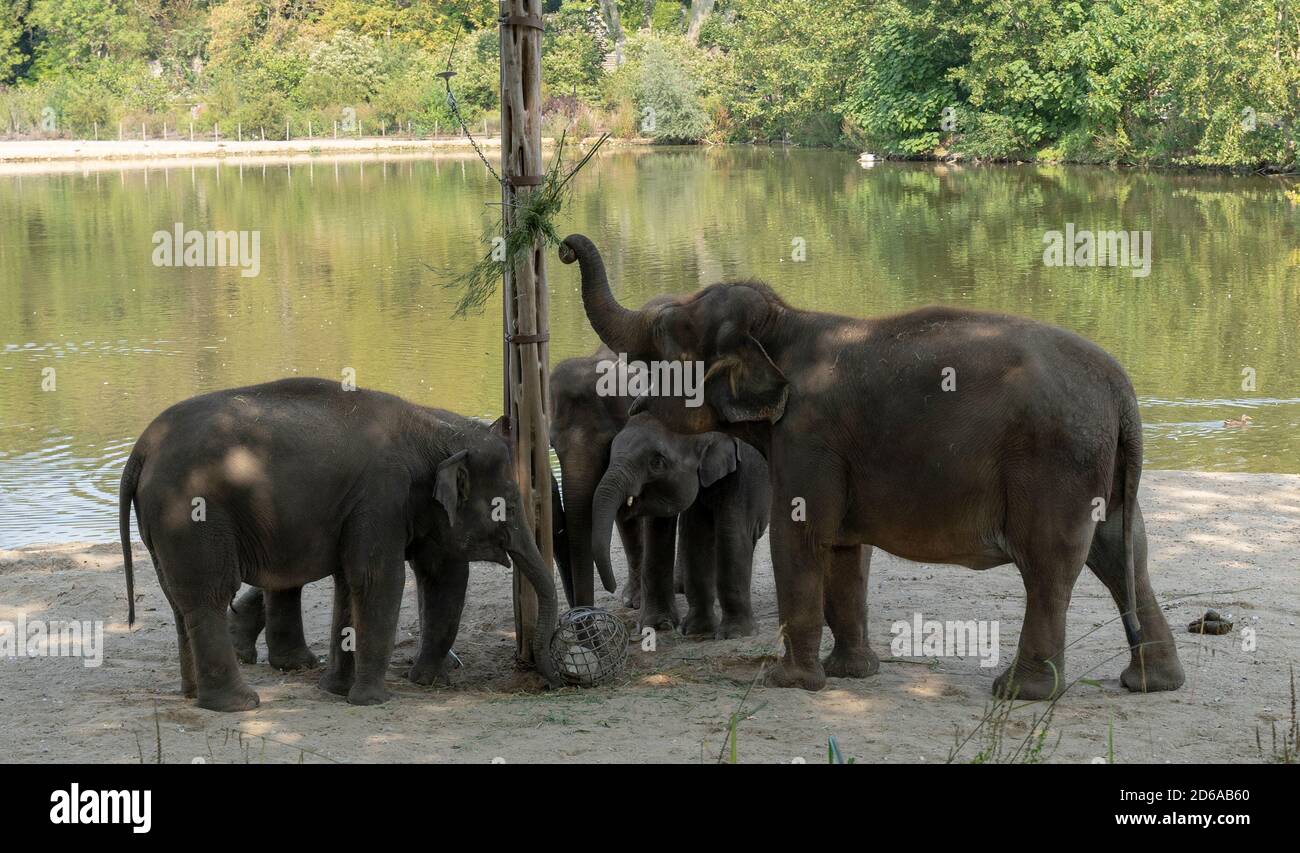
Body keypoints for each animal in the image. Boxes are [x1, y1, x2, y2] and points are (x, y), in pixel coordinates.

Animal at [118, 377, 560, 711]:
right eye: (509, 506)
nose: (554, 680)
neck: (435, 429)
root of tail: (142, 448)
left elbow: (352, 581)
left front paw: (337, 690)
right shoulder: (381, 494)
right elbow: (380, 579)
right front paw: (373, 700)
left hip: (164, 525)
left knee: (181, 600)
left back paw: (194, 695)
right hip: (193, 515)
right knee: (209, 595)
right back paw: (241, 704)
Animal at [591, 413, 770, 638]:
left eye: (657, 462)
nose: (612, 588)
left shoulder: (748, 468)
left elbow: (733, 531)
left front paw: (734, 634)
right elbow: (694, 532)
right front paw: (677, 628)